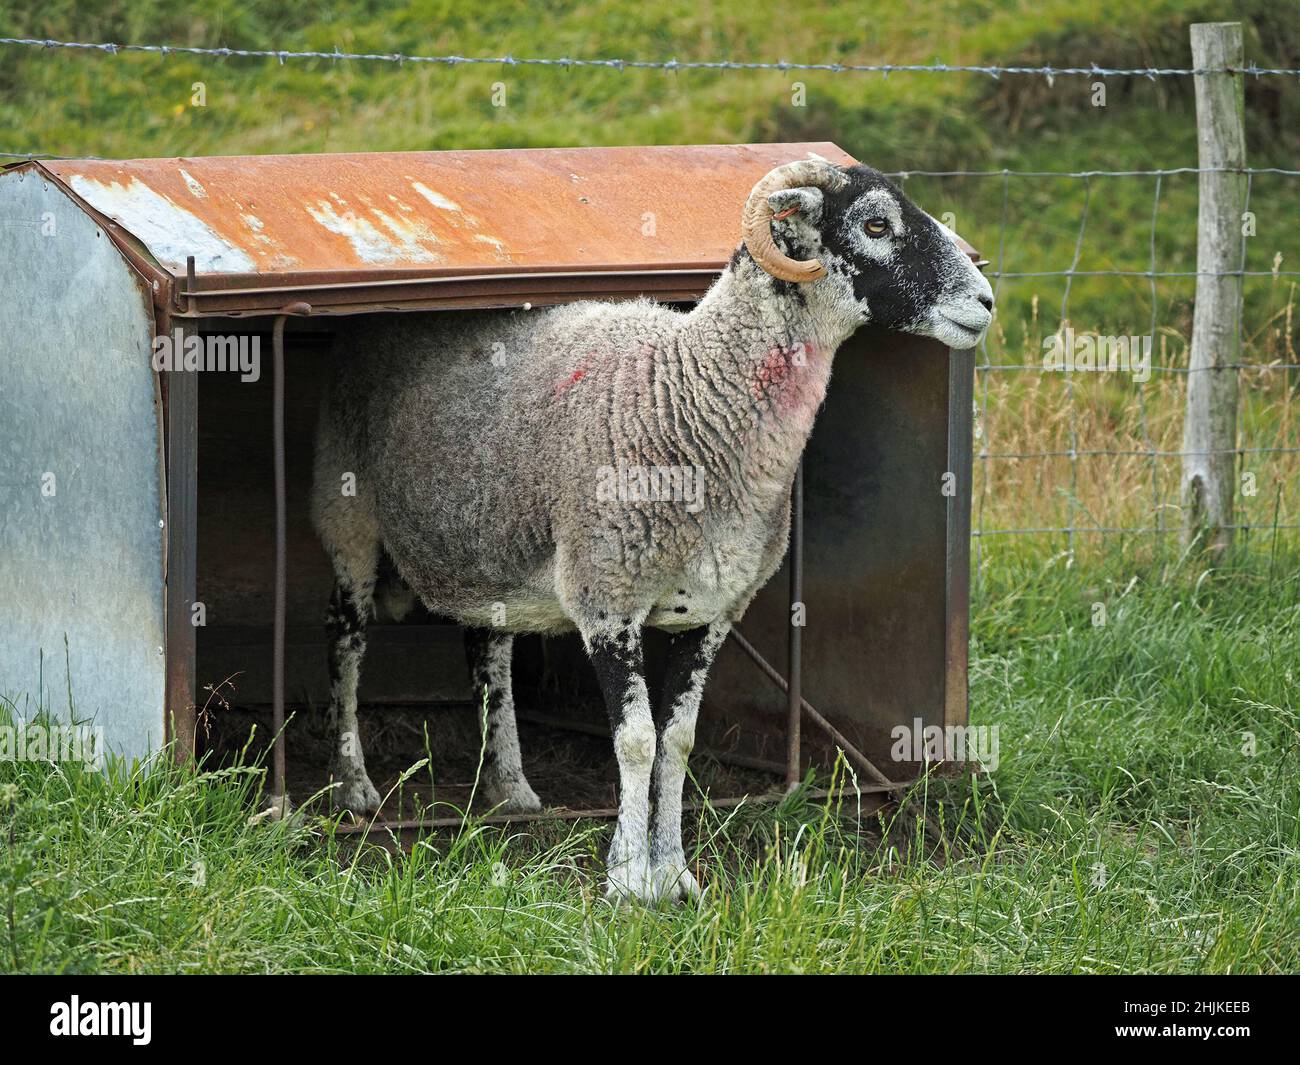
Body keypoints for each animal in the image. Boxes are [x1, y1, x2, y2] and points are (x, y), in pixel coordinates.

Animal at [310, 158, 994, 903]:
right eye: (875, 225)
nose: (986, 301)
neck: (690, 394)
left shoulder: (714, 611)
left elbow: (680, 740)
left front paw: (676, 874)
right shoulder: (608, 598)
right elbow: (636, 739)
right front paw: (627, 880)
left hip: (490, 540)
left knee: (487, 651)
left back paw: (511, 787)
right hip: (346, 516)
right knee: (345, 639)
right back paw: (353, 787)